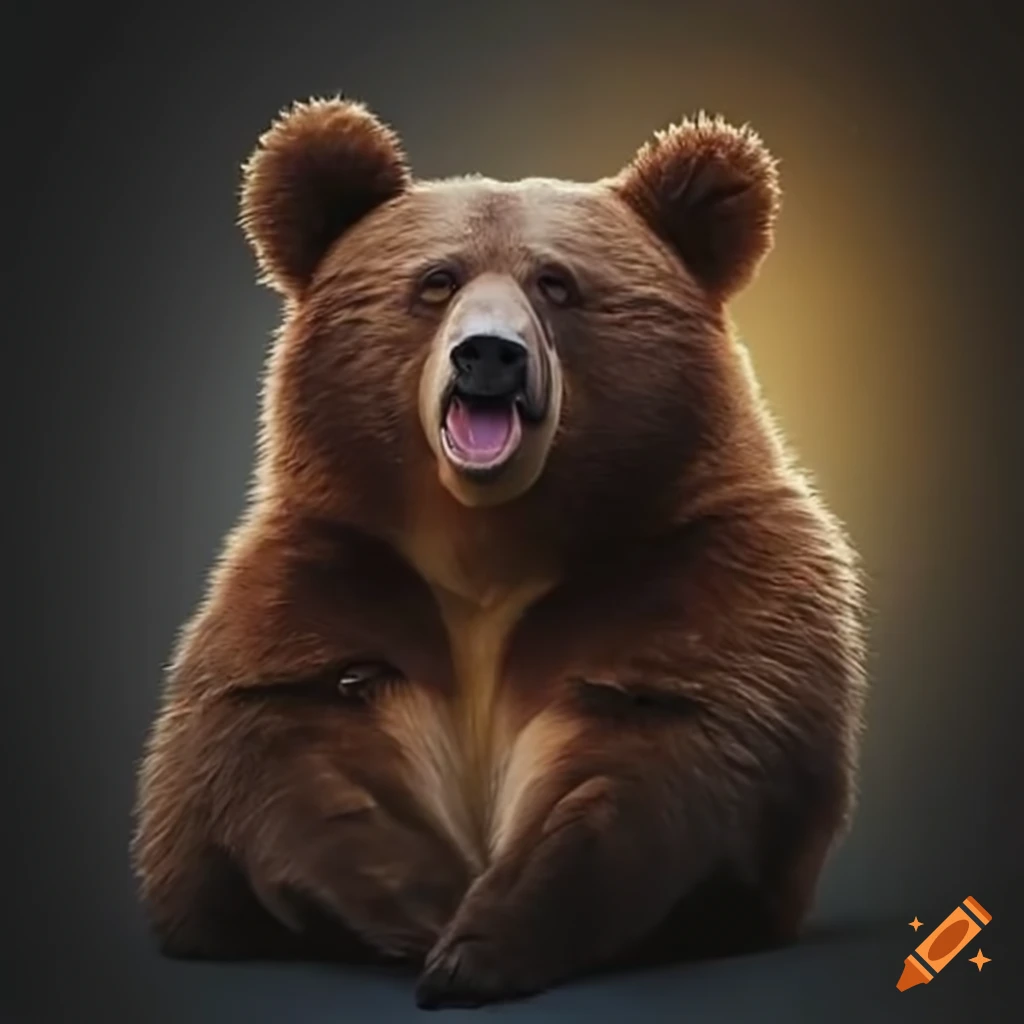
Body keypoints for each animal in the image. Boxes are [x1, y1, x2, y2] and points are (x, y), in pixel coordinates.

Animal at [131, 97, 867, 1009]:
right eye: (436, 280)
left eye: (556, 283)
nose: (489, 353)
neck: (490, 545)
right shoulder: (325, 582)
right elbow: (278, 750)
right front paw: (426, 912)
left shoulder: (703, 575)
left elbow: (664, 756)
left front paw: (476, 948)